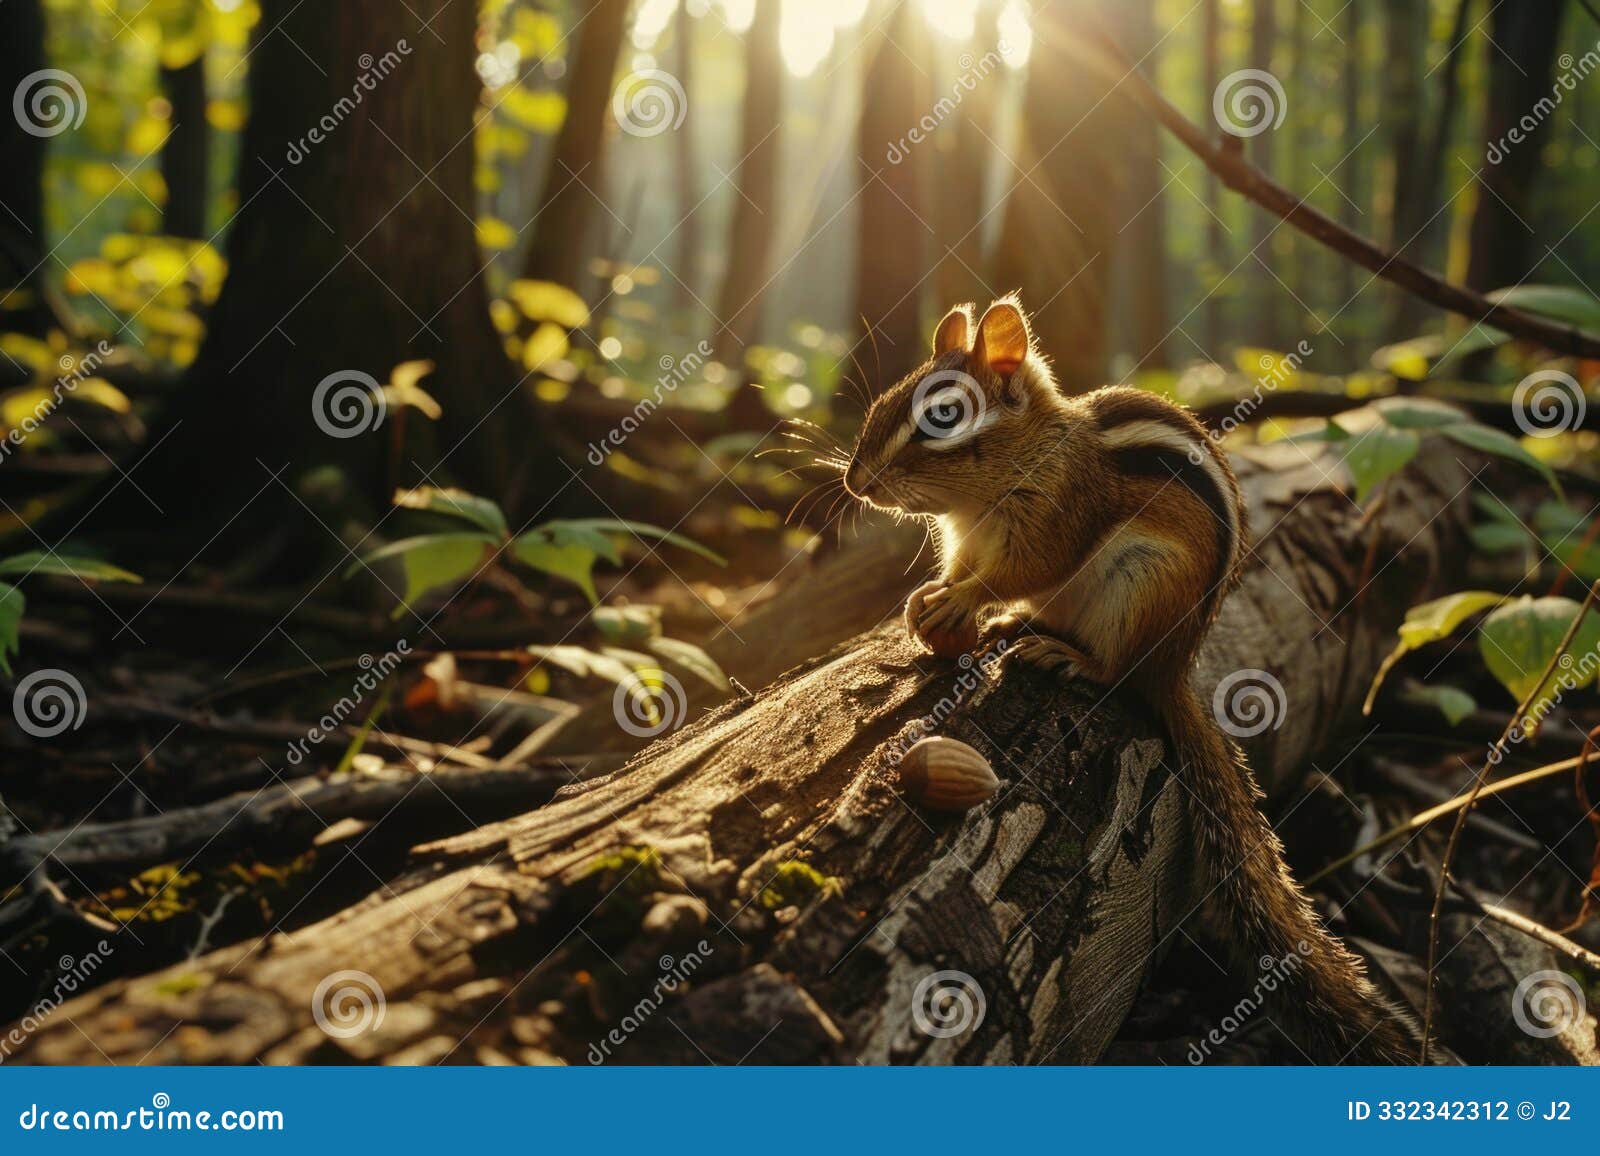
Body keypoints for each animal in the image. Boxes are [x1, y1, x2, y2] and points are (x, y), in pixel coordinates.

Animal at [842, 295, 1421, 1065]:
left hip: (1140, 587)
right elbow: (963, 572)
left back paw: (1066, 656)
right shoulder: (966, 540)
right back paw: (1017, 627)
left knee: (1116, 673)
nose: (855, 482)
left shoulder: (1055, 518)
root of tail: (1175, 667)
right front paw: (928, 602)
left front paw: (962, 604)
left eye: (943, 415)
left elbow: (1015, 572)